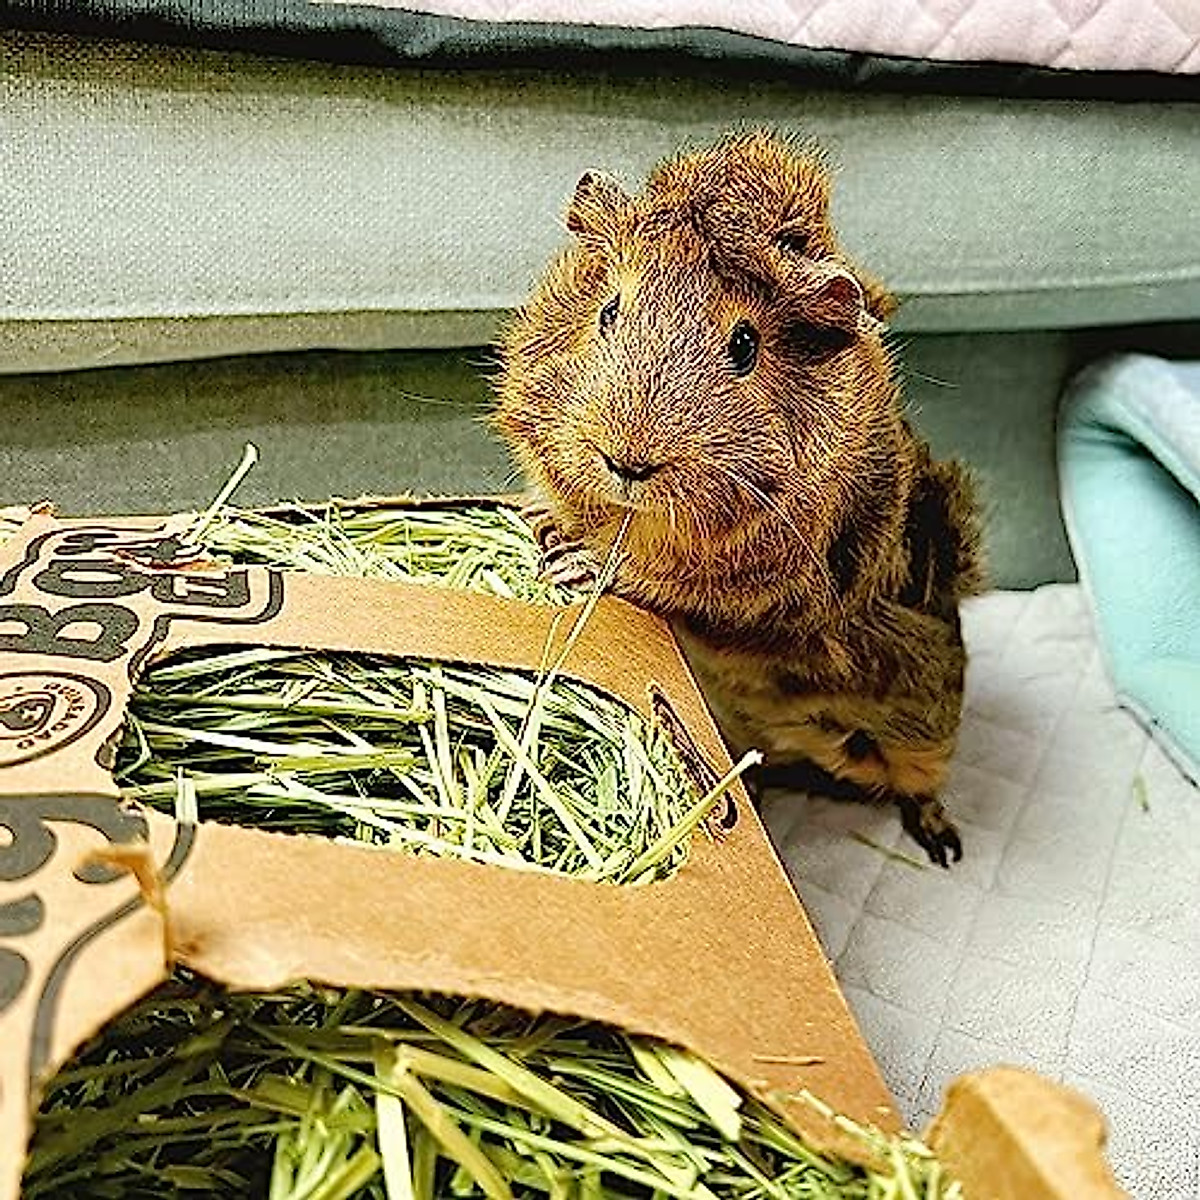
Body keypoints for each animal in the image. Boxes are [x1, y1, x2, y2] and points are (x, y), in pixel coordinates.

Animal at [493, 130, 984, 867]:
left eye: (746, 344)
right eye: (609, 311)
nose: (627, 460)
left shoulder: (766, 584)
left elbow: (663, 578)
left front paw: (576, 564)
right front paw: (542, 522)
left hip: (926, 729)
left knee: (920, 786)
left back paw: (944, 846)